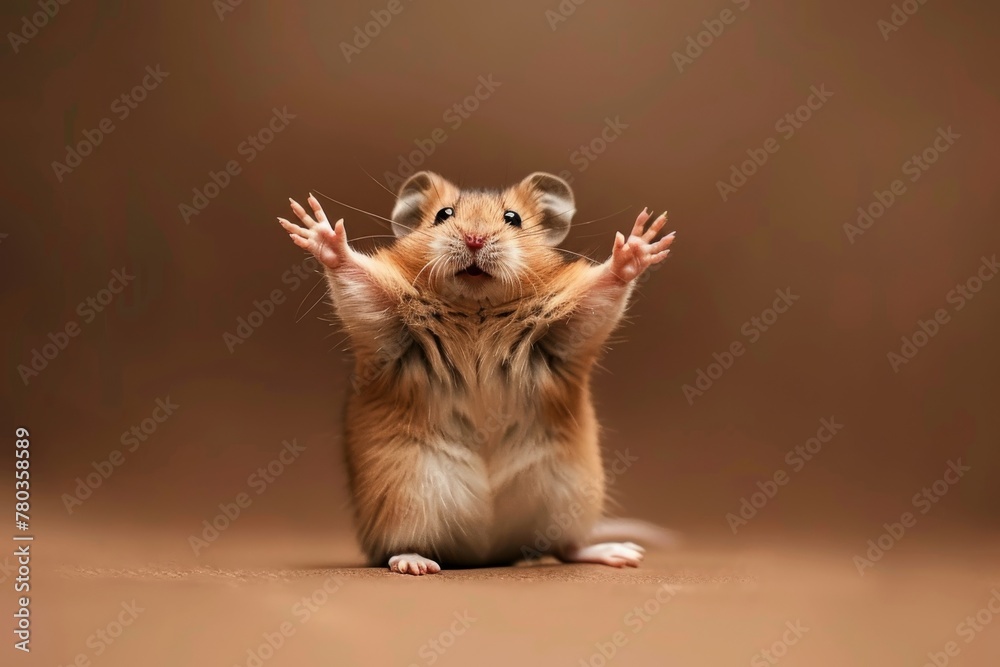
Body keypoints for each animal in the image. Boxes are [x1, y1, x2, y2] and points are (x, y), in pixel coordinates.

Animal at [278, 171, 675, 575]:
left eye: (513, 218)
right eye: (443, 214)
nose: (474, 239)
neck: (477, 308)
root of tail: (487, 551)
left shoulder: (568, 324)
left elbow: (605, 288)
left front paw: (640, 243)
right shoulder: (382, 316)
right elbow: (352, 274)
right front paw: (317, 230)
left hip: (572, 494)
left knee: (567, 545)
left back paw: (623, 554)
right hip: (406, 495)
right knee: (402, 546)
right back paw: (415, 564)